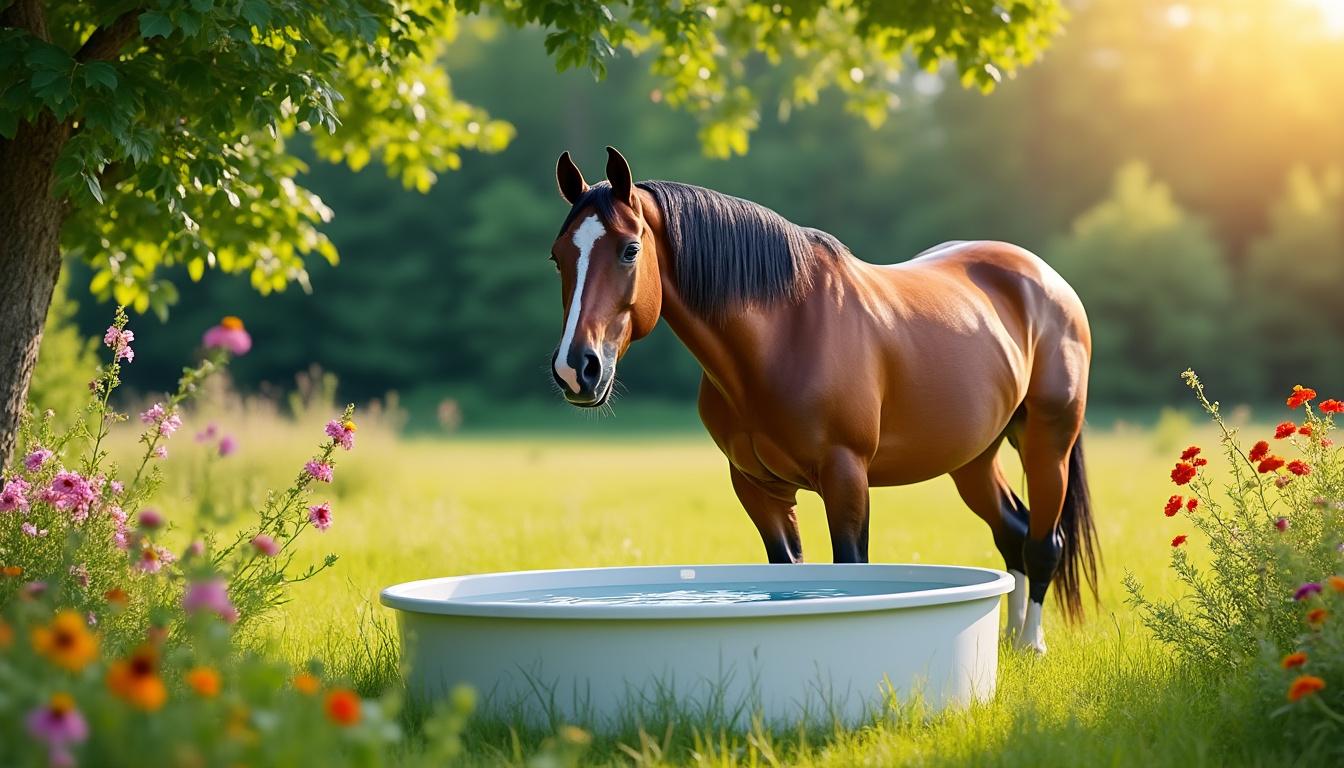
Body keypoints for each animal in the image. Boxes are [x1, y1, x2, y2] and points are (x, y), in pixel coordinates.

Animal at [546, 146, 1098, 653]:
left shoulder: (846, 477)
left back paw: (1032, 643)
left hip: (1047, 443)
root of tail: (1045, 279)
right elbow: (789, 575)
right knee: (1012, 531)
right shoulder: (758, 488)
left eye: (629, 249)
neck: (784, 335)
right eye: (558, 256)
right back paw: (1011, 638)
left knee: (1043, 543)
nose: (577, 369)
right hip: (973, 457)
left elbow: (852, 571)